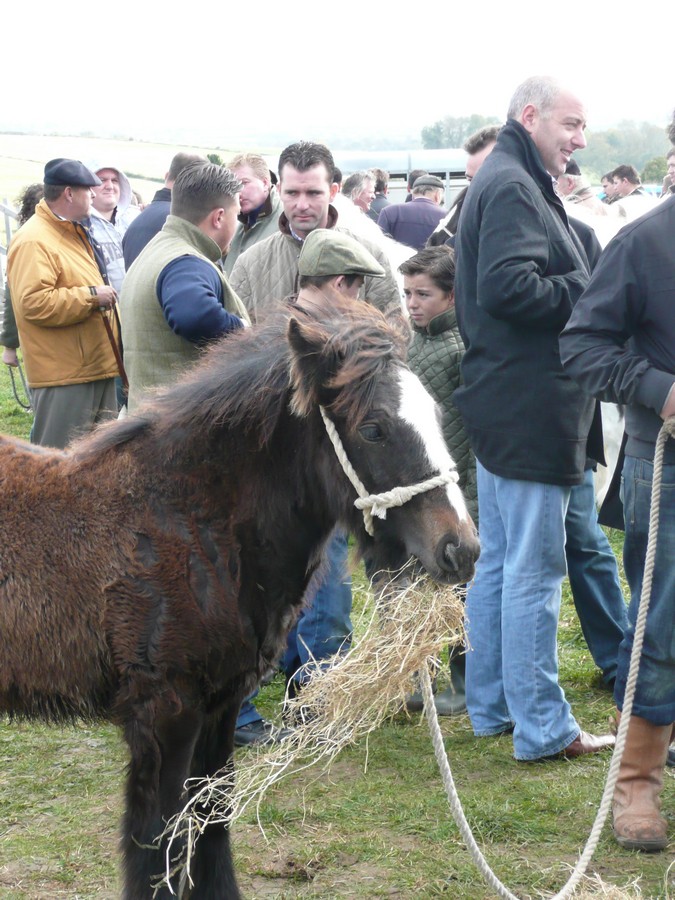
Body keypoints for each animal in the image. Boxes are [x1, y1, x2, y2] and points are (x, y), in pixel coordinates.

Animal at [0, 291, 480, 899]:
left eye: (437, 417)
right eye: (373, 429)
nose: (461, 549)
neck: (187, 522)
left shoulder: (220, 705)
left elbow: (212, 820)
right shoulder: (165, 712)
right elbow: (158, 843)